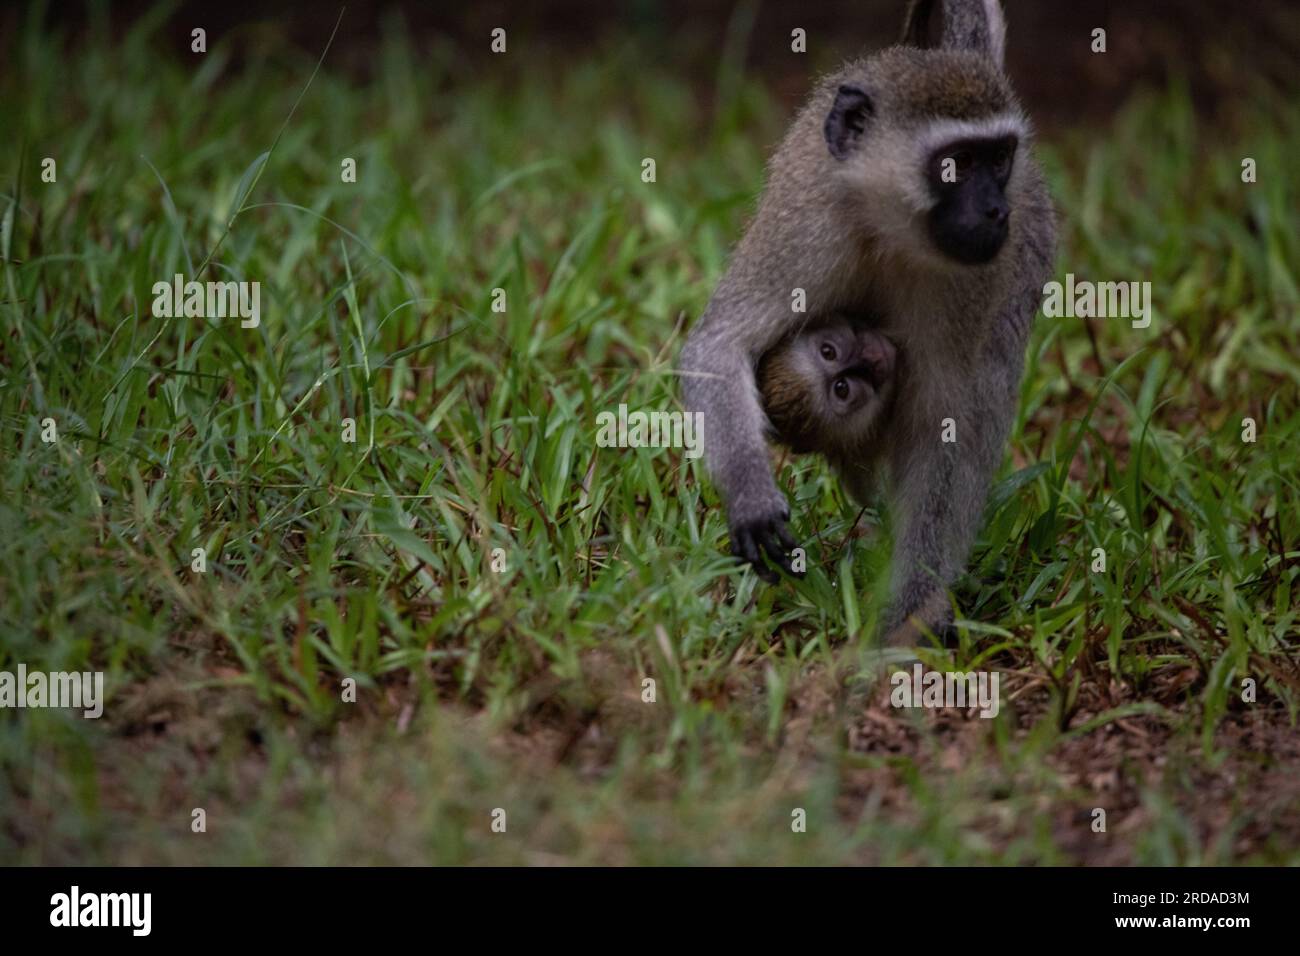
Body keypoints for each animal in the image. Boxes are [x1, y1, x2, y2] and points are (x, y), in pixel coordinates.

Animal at [678, 0, 1056, 644]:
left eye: (999, 159)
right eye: (956, 165)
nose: (994, 211)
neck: (887, 226)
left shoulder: (973, 279)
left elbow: (944, 425)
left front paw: (908, 607)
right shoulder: (808, 223)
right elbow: (721, 345)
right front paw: (752, 499)